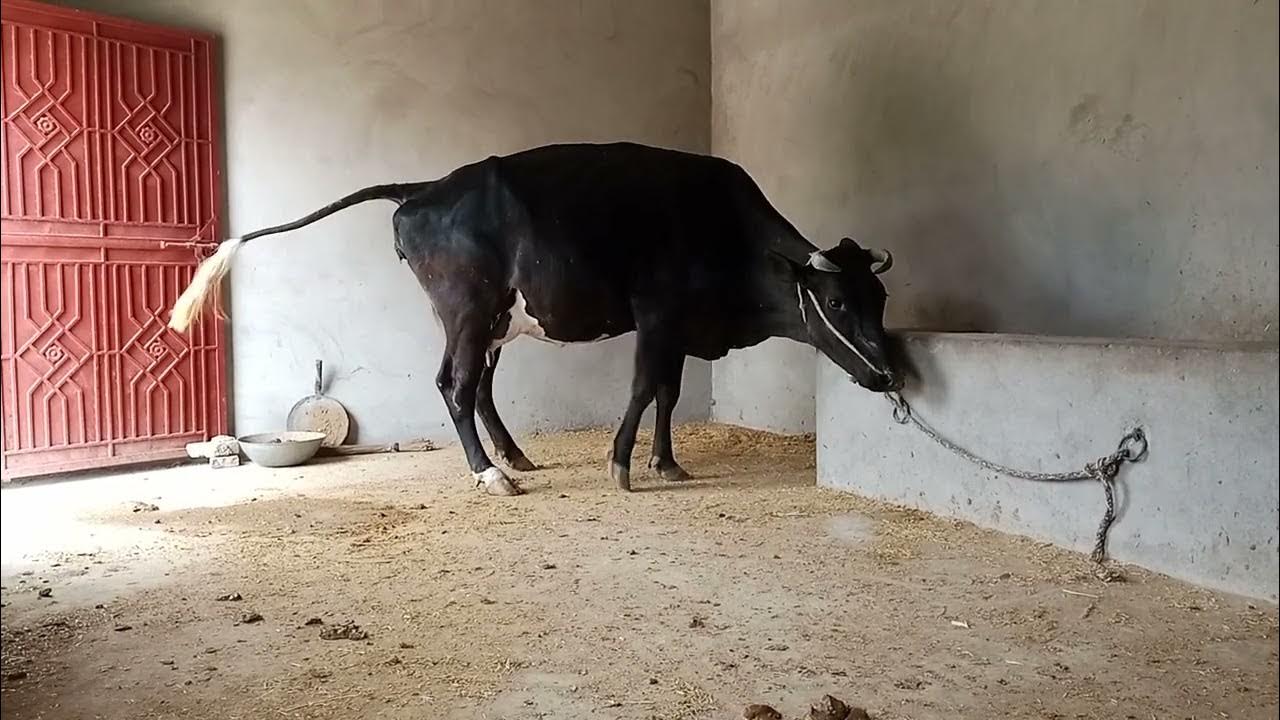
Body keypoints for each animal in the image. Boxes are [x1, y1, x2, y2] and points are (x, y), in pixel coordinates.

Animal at [168, 142, 899, 496]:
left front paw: (666, 462)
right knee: (455, 386)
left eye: (880, 300)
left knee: (479, 388)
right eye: (838, 302)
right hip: (466, 310)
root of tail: (426, 187)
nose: (889, 377)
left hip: (492, 321)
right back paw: (491, 474)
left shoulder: (679, 329)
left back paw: (513, 455)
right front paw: (622, 465)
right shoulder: (657, 316)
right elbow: (644, 388)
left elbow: (668, 393)